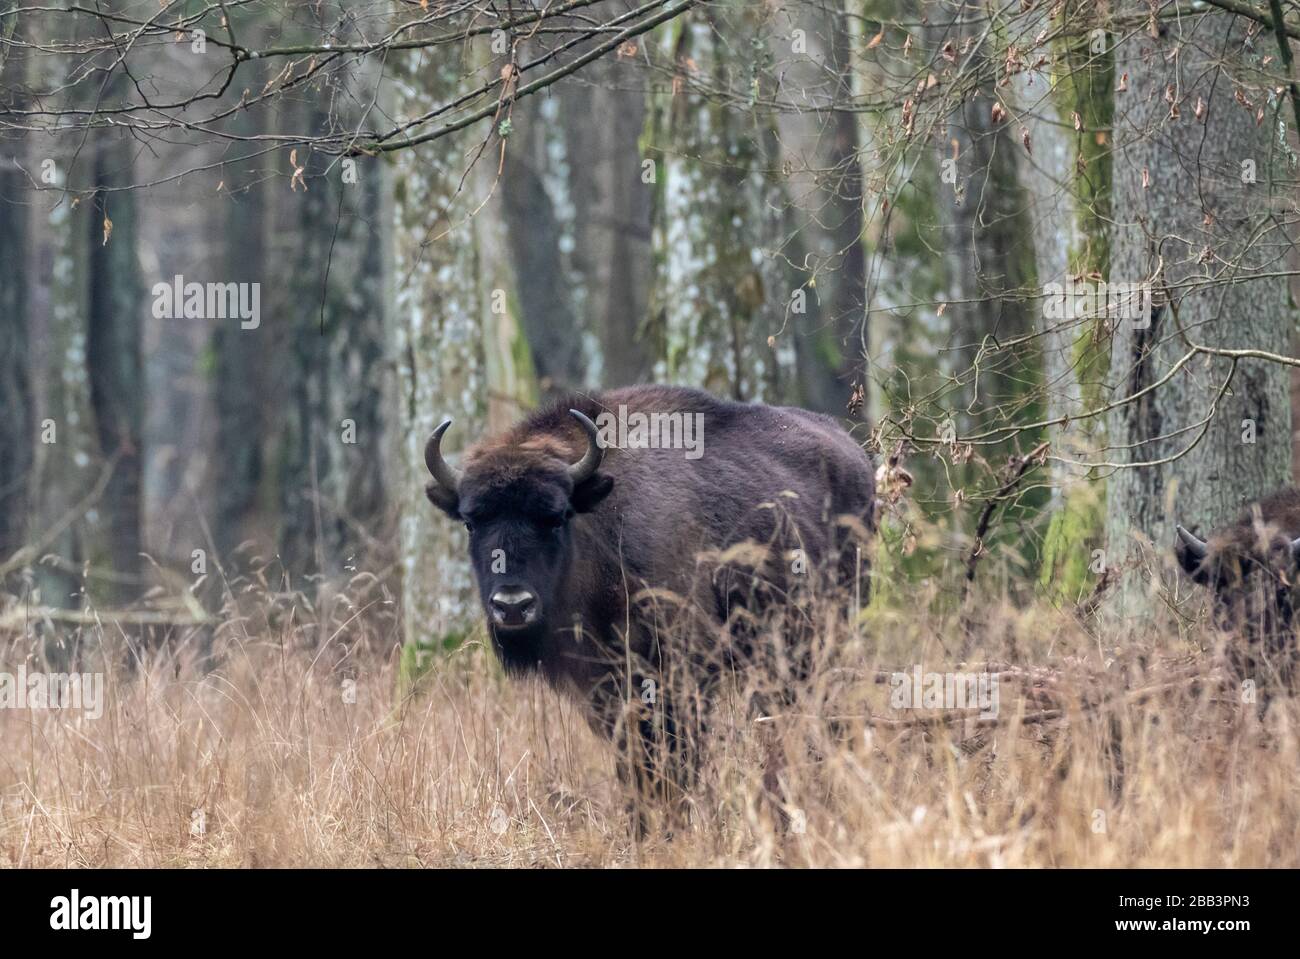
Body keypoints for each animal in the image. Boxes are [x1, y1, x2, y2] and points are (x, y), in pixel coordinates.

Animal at [423, 385, 876, 826]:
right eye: (471, 521)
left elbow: (674, 759)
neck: (604, 525)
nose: (513, 606)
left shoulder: (680, 673)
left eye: (557, 516)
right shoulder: (605, 688)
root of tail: (854, 454)